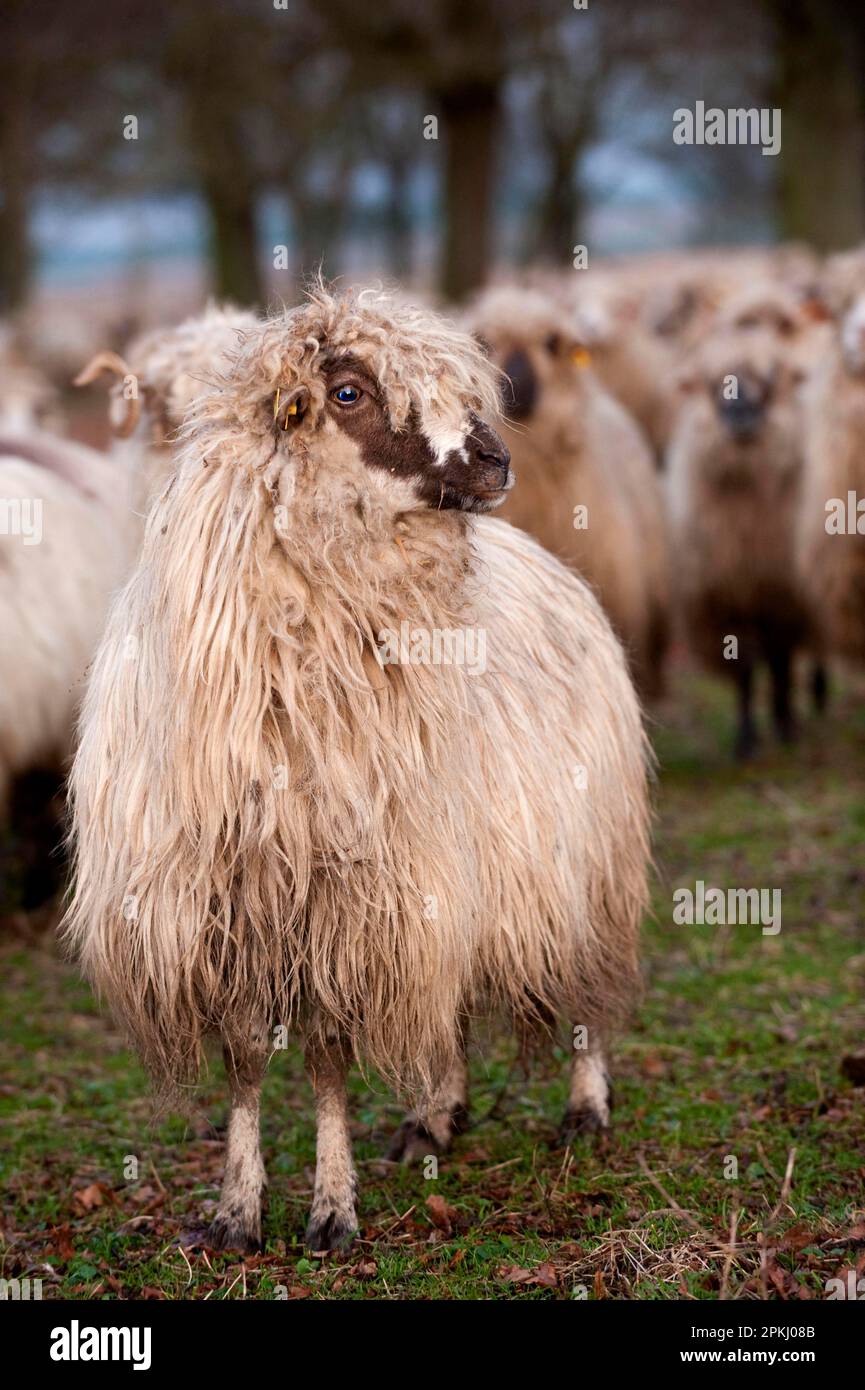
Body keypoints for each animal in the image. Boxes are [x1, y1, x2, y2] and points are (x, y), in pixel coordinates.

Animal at [64, 285, 650, 1253]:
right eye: (347, 393)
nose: (494, 459)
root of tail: (544, 559)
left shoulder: (351, 900)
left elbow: (329, 1064)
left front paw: (332, 1209)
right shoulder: (230, 905)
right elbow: (243, 1065)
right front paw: (236, 1211)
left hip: (579, 857)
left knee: (585, 990)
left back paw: (585, 1109)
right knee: (449, 1010)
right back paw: (434, 1118)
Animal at [667, 325, 814, 757]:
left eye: (770, 378)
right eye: (712, 382)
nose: (741, 416)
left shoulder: (783, 597)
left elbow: (780, 661)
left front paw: (785, 726)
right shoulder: (728, 600)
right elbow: (746, 669)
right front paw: (746, 739)